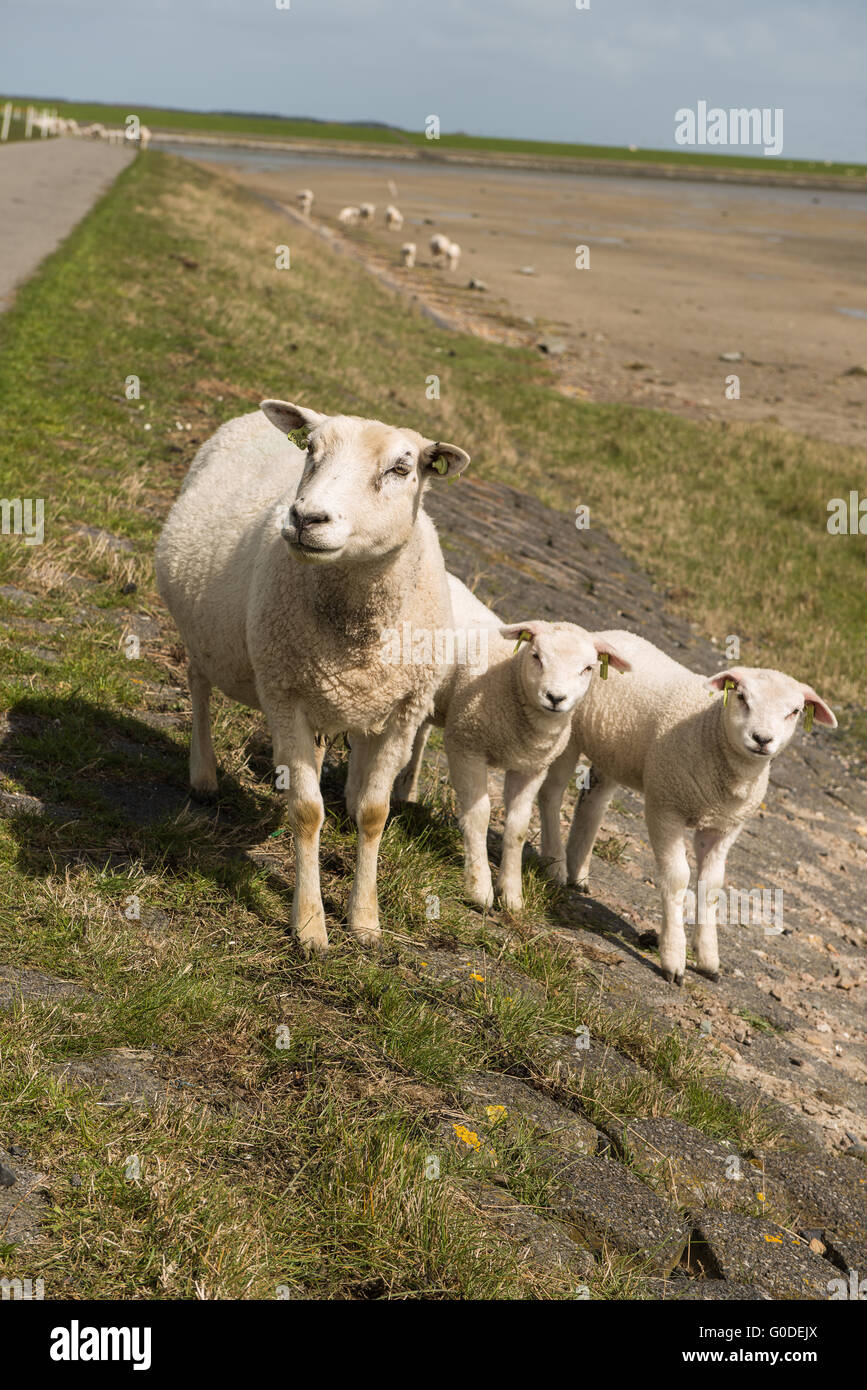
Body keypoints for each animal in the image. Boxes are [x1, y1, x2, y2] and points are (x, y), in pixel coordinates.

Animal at [155, 402, 470, 954]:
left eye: (401, 469)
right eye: (311, 452)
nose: (305, 518)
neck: (357, 625)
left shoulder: (403, 714)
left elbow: (374, 813)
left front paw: (365, 921)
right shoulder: (284, 696)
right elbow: (306, 812)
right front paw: (309, 927)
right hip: (204, 631)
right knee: (198, 686)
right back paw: (204, 776)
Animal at [391, 577, 630, 911]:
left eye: (588, 669)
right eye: (536, 656)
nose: (555, 697)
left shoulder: (531, 767)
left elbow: (518, 829)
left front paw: (513, 895)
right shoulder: (466, 745)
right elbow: (479, 815)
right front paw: (479, 888)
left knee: (420, 733)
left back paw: (406, 791)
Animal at [537, 632, 837, 984]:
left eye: (794, 711)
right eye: (742, 697)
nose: (762, 739)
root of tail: (604, 636)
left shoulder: (723, 828)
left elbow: (712, 887)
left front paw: (708, 959)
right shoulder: (665, 807)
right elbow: (678, 877)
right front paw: (673, 958)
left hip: (617, 754)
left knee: (593, 801)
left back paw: (579, 874)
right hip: (569, 734)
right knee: (552, 793)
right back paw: (556, 866)